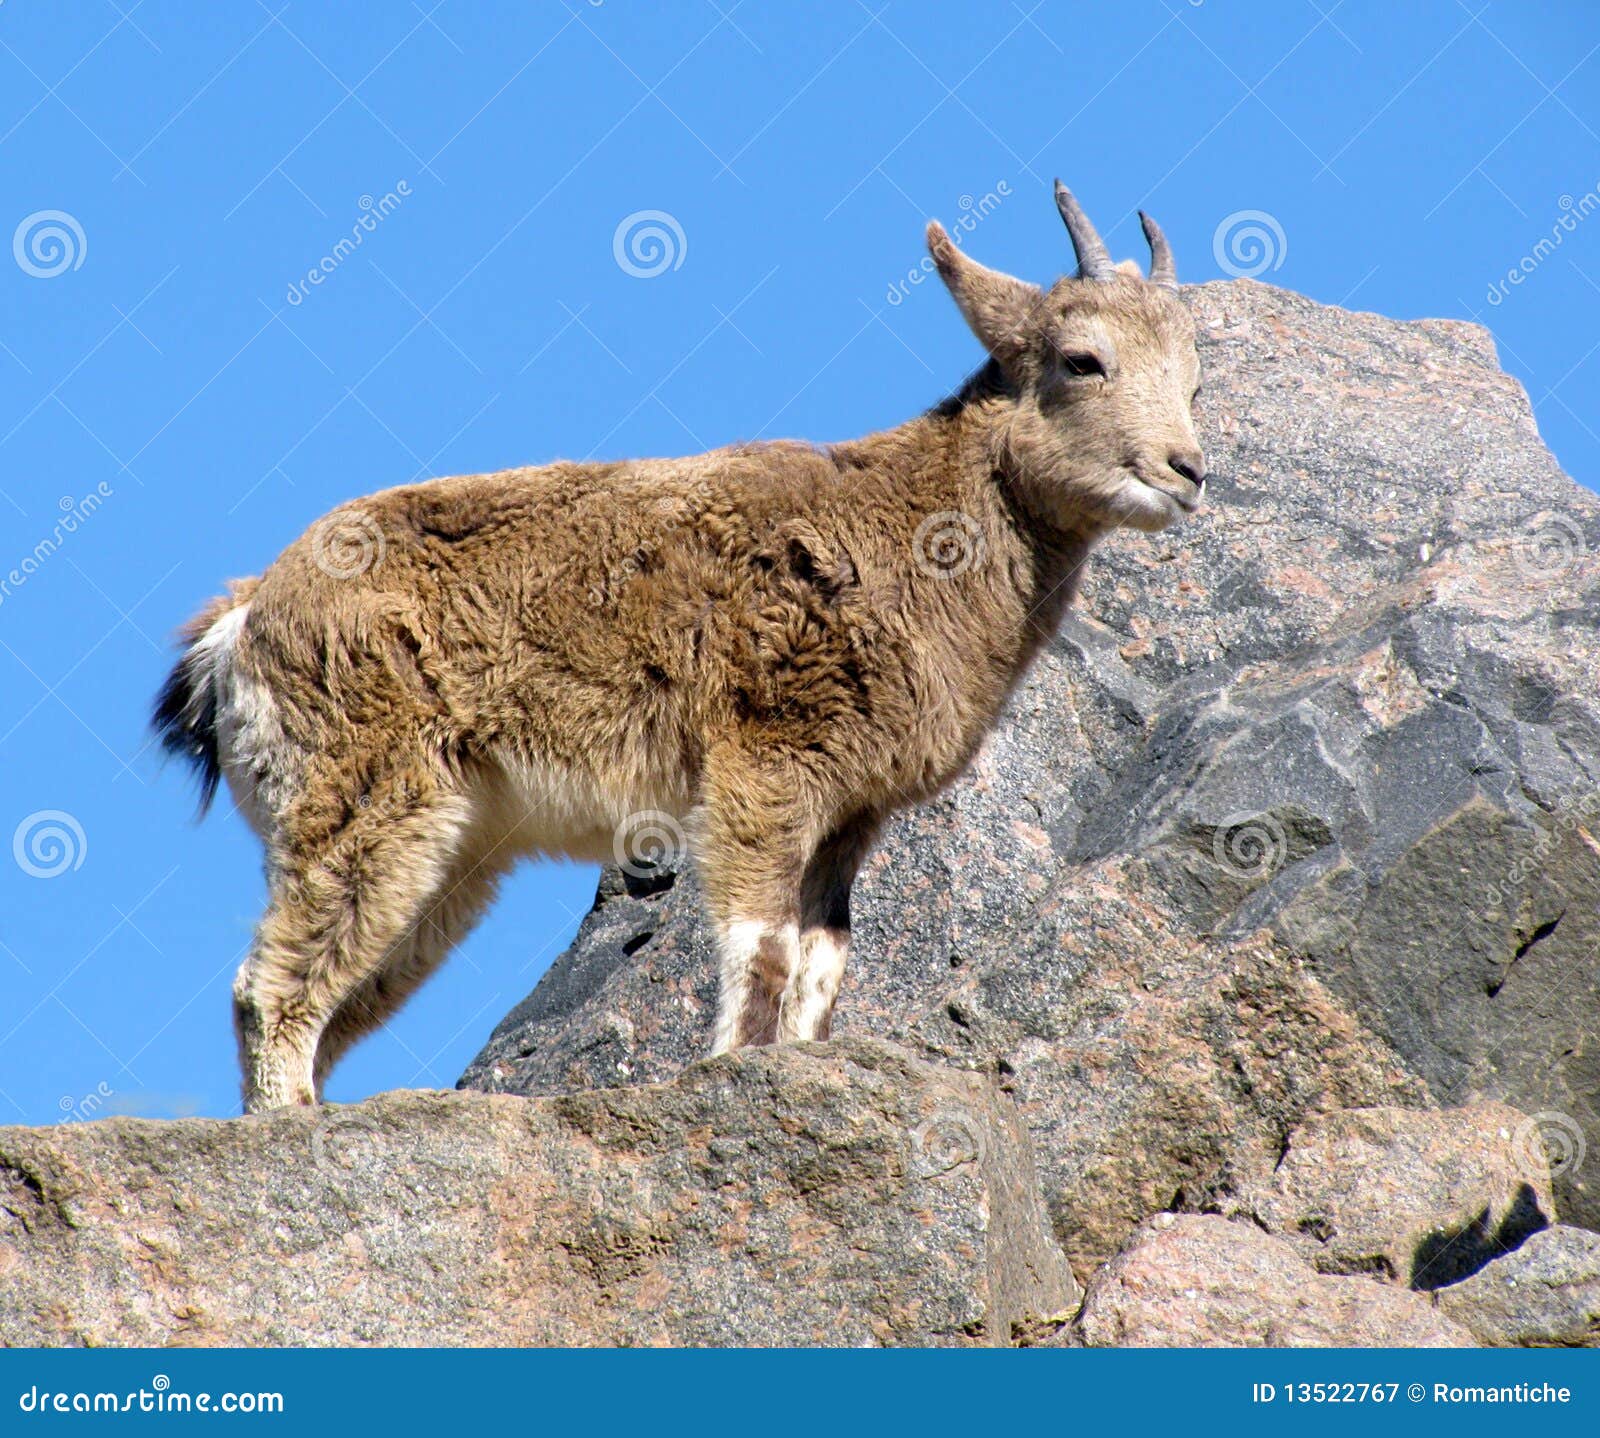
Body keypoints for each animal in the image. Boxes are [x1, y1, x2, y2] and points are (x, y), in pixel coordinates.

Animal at [155, 181, 1206, 1113]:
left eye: (1195, 378)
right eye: (1082, 359)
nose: (1188, 469)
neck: (906, 527)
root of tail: (238, 628)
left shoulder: (853, 810)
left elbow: (825, 957)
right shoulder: (763, 759)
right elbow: (762, 943)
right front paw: (735, 1072)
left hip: (453, 845)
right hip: (362, 790)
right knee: (271, 986)